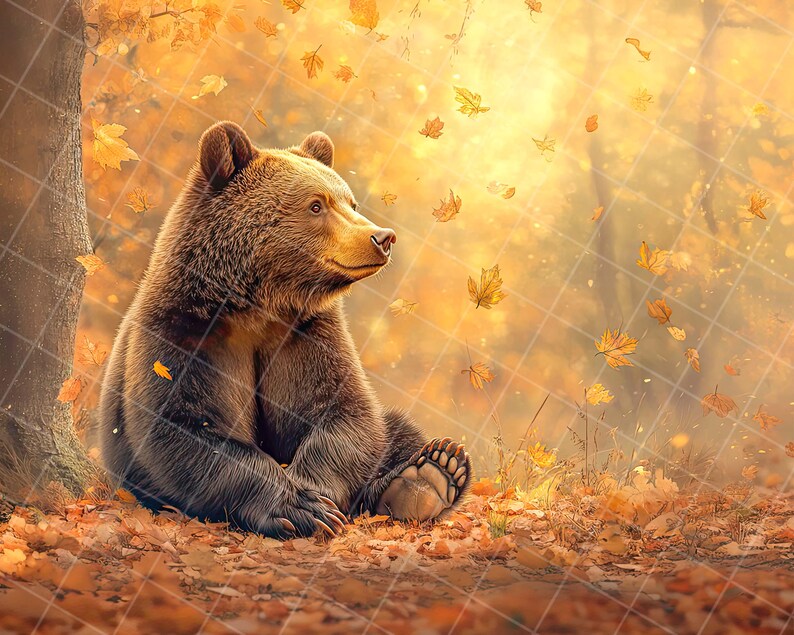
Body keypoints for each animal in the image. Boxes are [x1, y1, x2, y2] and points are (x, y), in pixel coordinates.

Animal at [97, 121, 471, 538]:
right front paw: (300, 506)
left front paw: (318, 494)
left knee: (398, 430)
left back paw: (431, 474)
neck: (257, 305)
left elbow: (344, 413)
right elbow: (181, 427)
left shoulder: (306, 335)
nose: (382, 237)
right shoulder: (184, 334)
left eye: (351, 203)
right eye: (316, 205)